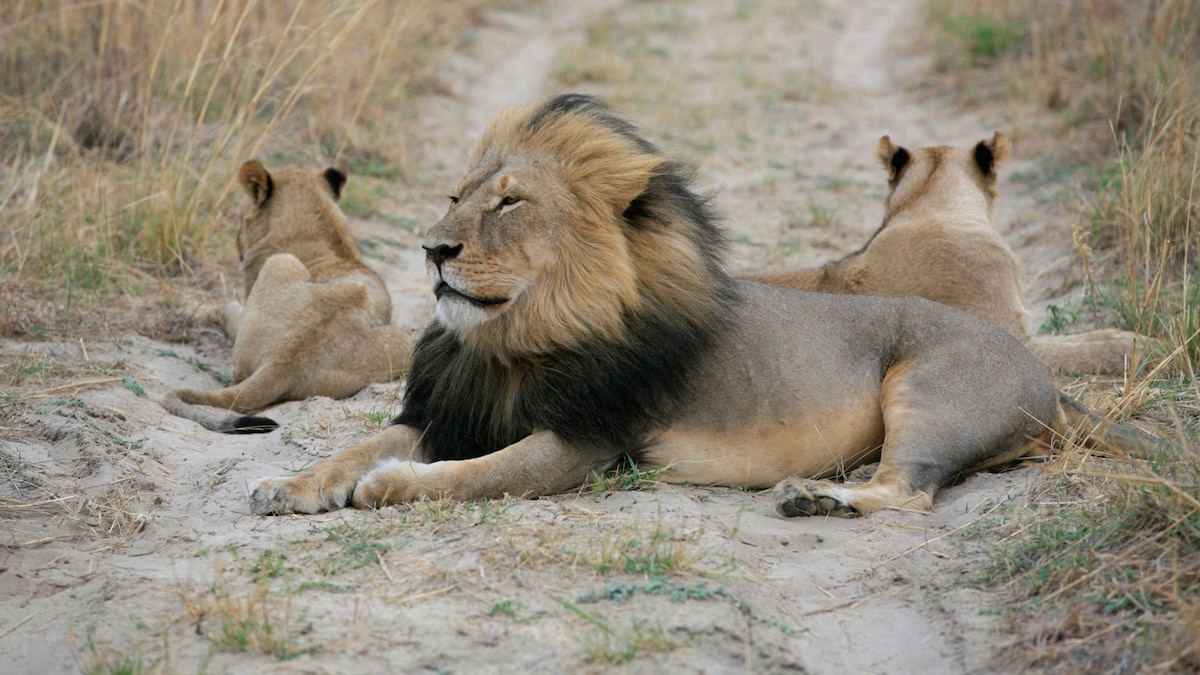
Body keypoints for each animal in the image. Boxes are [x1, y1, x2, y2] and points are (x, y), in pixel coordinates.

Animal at [743, 133, 1146, 375]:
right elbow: (1094, 352)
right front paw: (1149, 345)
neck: (926, 206)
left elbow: (1091, 338)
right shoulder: (1015, 343)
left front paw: (1125, 332)